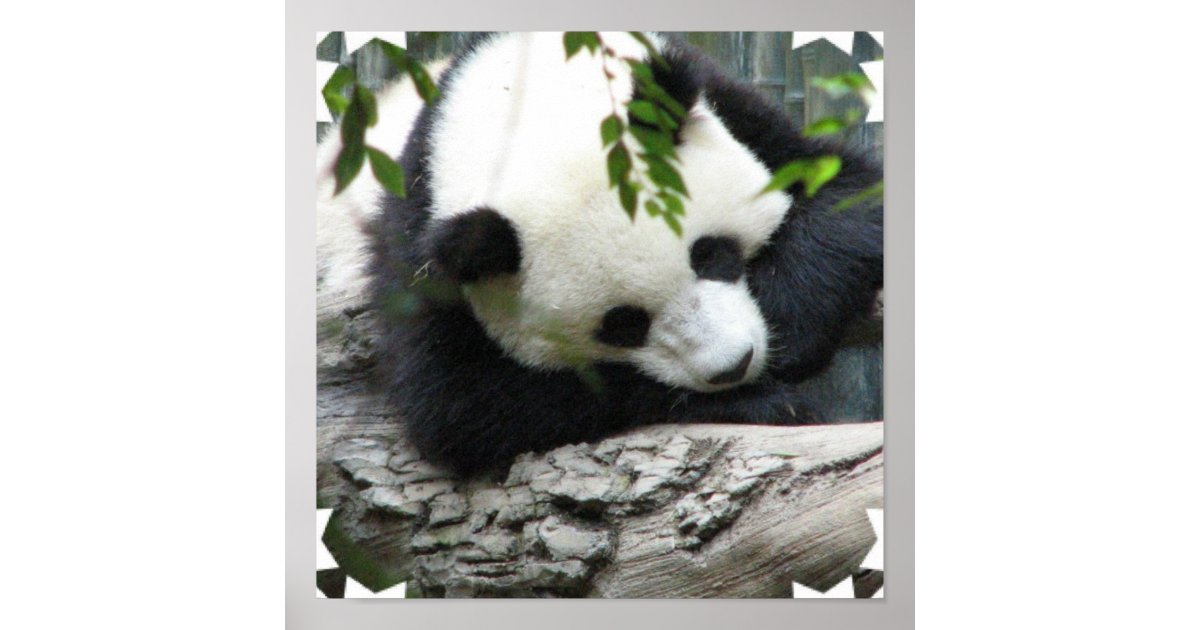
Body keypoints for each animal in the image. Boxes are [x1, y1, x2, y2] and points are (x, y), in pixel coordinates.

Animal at [322, 32, 883, 476]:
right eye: (623, 324)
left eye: (711, 254)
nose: (733, 366)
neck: (524, 104)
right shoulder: (422, 246)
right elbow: (466, 406)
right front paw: (760, 402)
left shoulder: (736, 110)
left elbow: (850, 195)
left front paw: (788, 330)